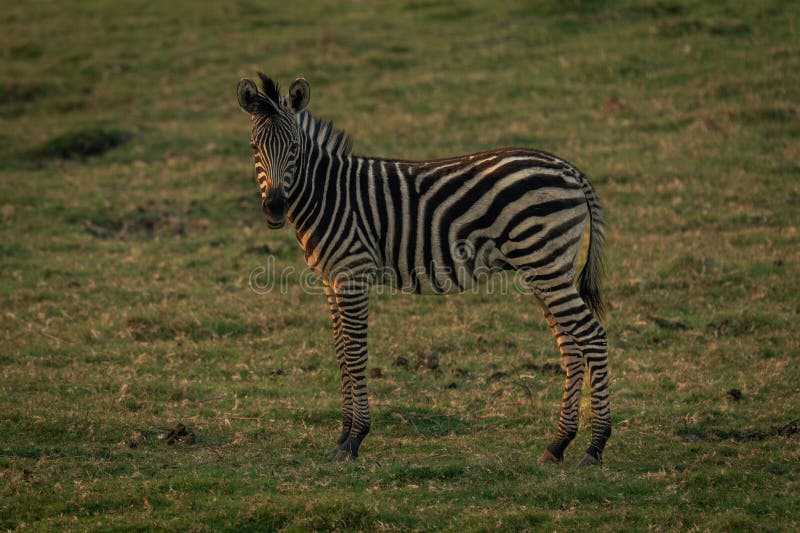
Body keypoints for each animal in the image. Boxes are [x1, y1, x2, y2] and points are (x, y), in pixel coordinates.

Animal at [236, 73, 611, 466]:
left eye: (294, 147)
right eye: (254, 147)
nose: (275, 209)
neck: (329, 195)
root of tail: (568, 169)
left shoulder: (353, 273)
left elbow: (354, 354)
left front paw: (355, 438)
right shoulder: (331, 280)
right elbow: (340, 352)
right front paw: (342, 436)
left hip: (546, 265)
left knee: (592, 337)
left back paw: (595, 446)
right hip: (548, 270)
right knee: (571, 348)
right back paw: (558, 444)